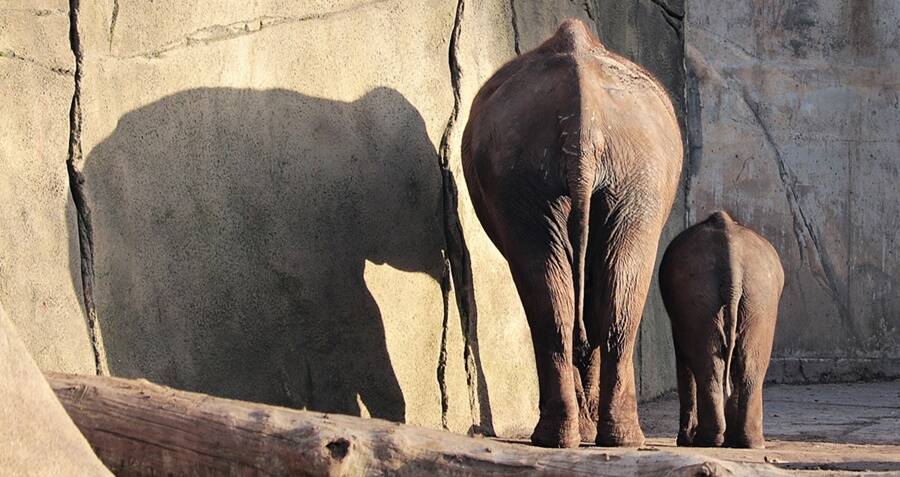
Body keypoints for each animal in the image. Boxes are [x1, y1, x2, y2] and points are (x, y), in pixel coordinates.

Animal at [461, 19, 683, 448]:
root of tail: (585, 126)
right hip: (603, 174)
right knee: (590, 296)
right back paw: (587, 436)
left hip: (597, 175)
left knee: (578, 294)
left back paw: (585, 436)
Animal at [659, 211, 784, 449]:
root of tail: (731, 259)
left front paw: (685, 440)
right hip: (757, 297)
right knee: (748, 365)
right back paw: (747, 442)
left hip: (707, 295)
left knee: (710, 363)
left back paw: (709, 440)